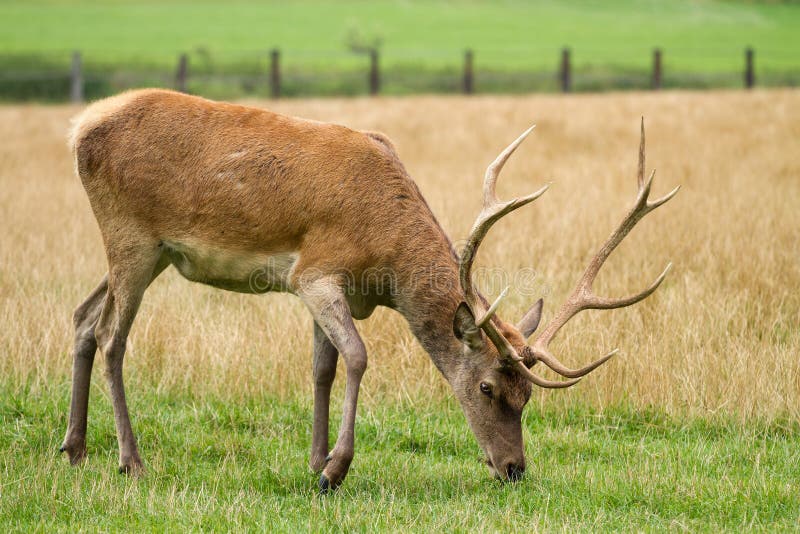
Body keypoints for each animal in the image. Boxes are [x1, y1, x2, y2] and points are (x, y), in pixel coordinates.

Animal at [60, 89, 678, 492]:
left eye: (527, 395)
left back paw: (75, 447)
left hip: (147, 251)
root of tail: (79, 128)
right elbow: (357, 357)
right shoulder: (314, 273)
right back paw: (130, 461)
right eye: (486, 388)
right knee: (114, 336)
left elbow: (322, 368)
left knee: (84, 317)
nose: (514, 470)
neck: (385, 261)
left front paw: (314, 460)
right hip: (131, 236)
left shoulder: (317, 289)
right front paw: (335, 470)